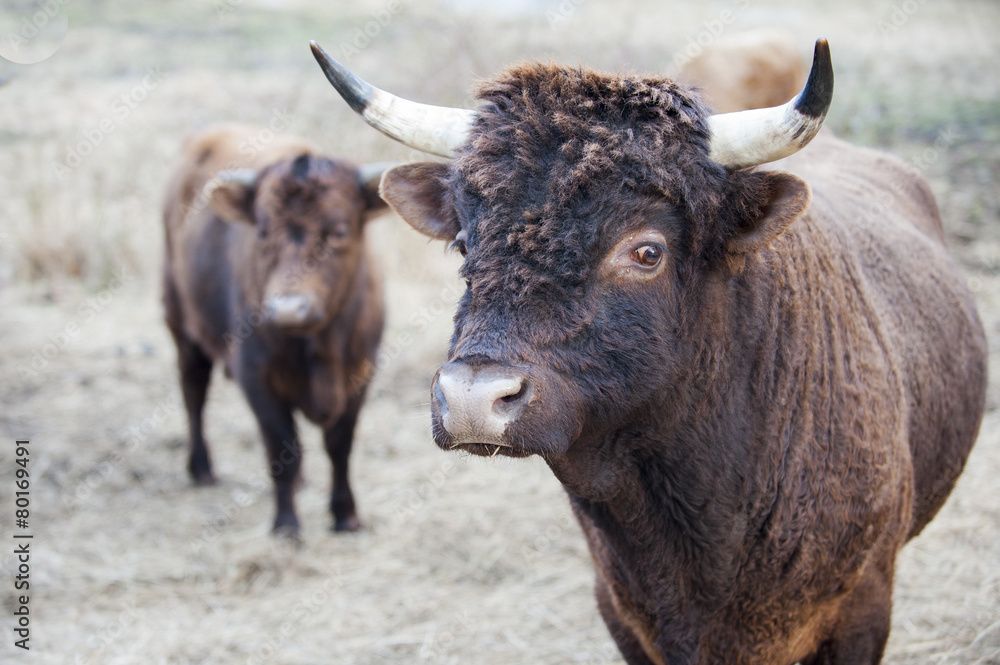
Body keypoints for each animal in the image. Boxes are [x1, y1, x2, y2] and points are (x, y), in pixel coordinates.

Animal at [162, 124, 388, 536]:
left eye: (339, 231)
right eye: (264, 231)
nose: (287, 308)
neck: (319, 347)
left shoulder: (361, 374)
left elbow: (339, 445)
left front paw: (345, 515)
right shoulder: (257, 378)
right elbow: (282, 447)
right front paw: (286, 525)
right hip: (180, 321)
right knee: (193, 390)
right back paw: (201, 467)